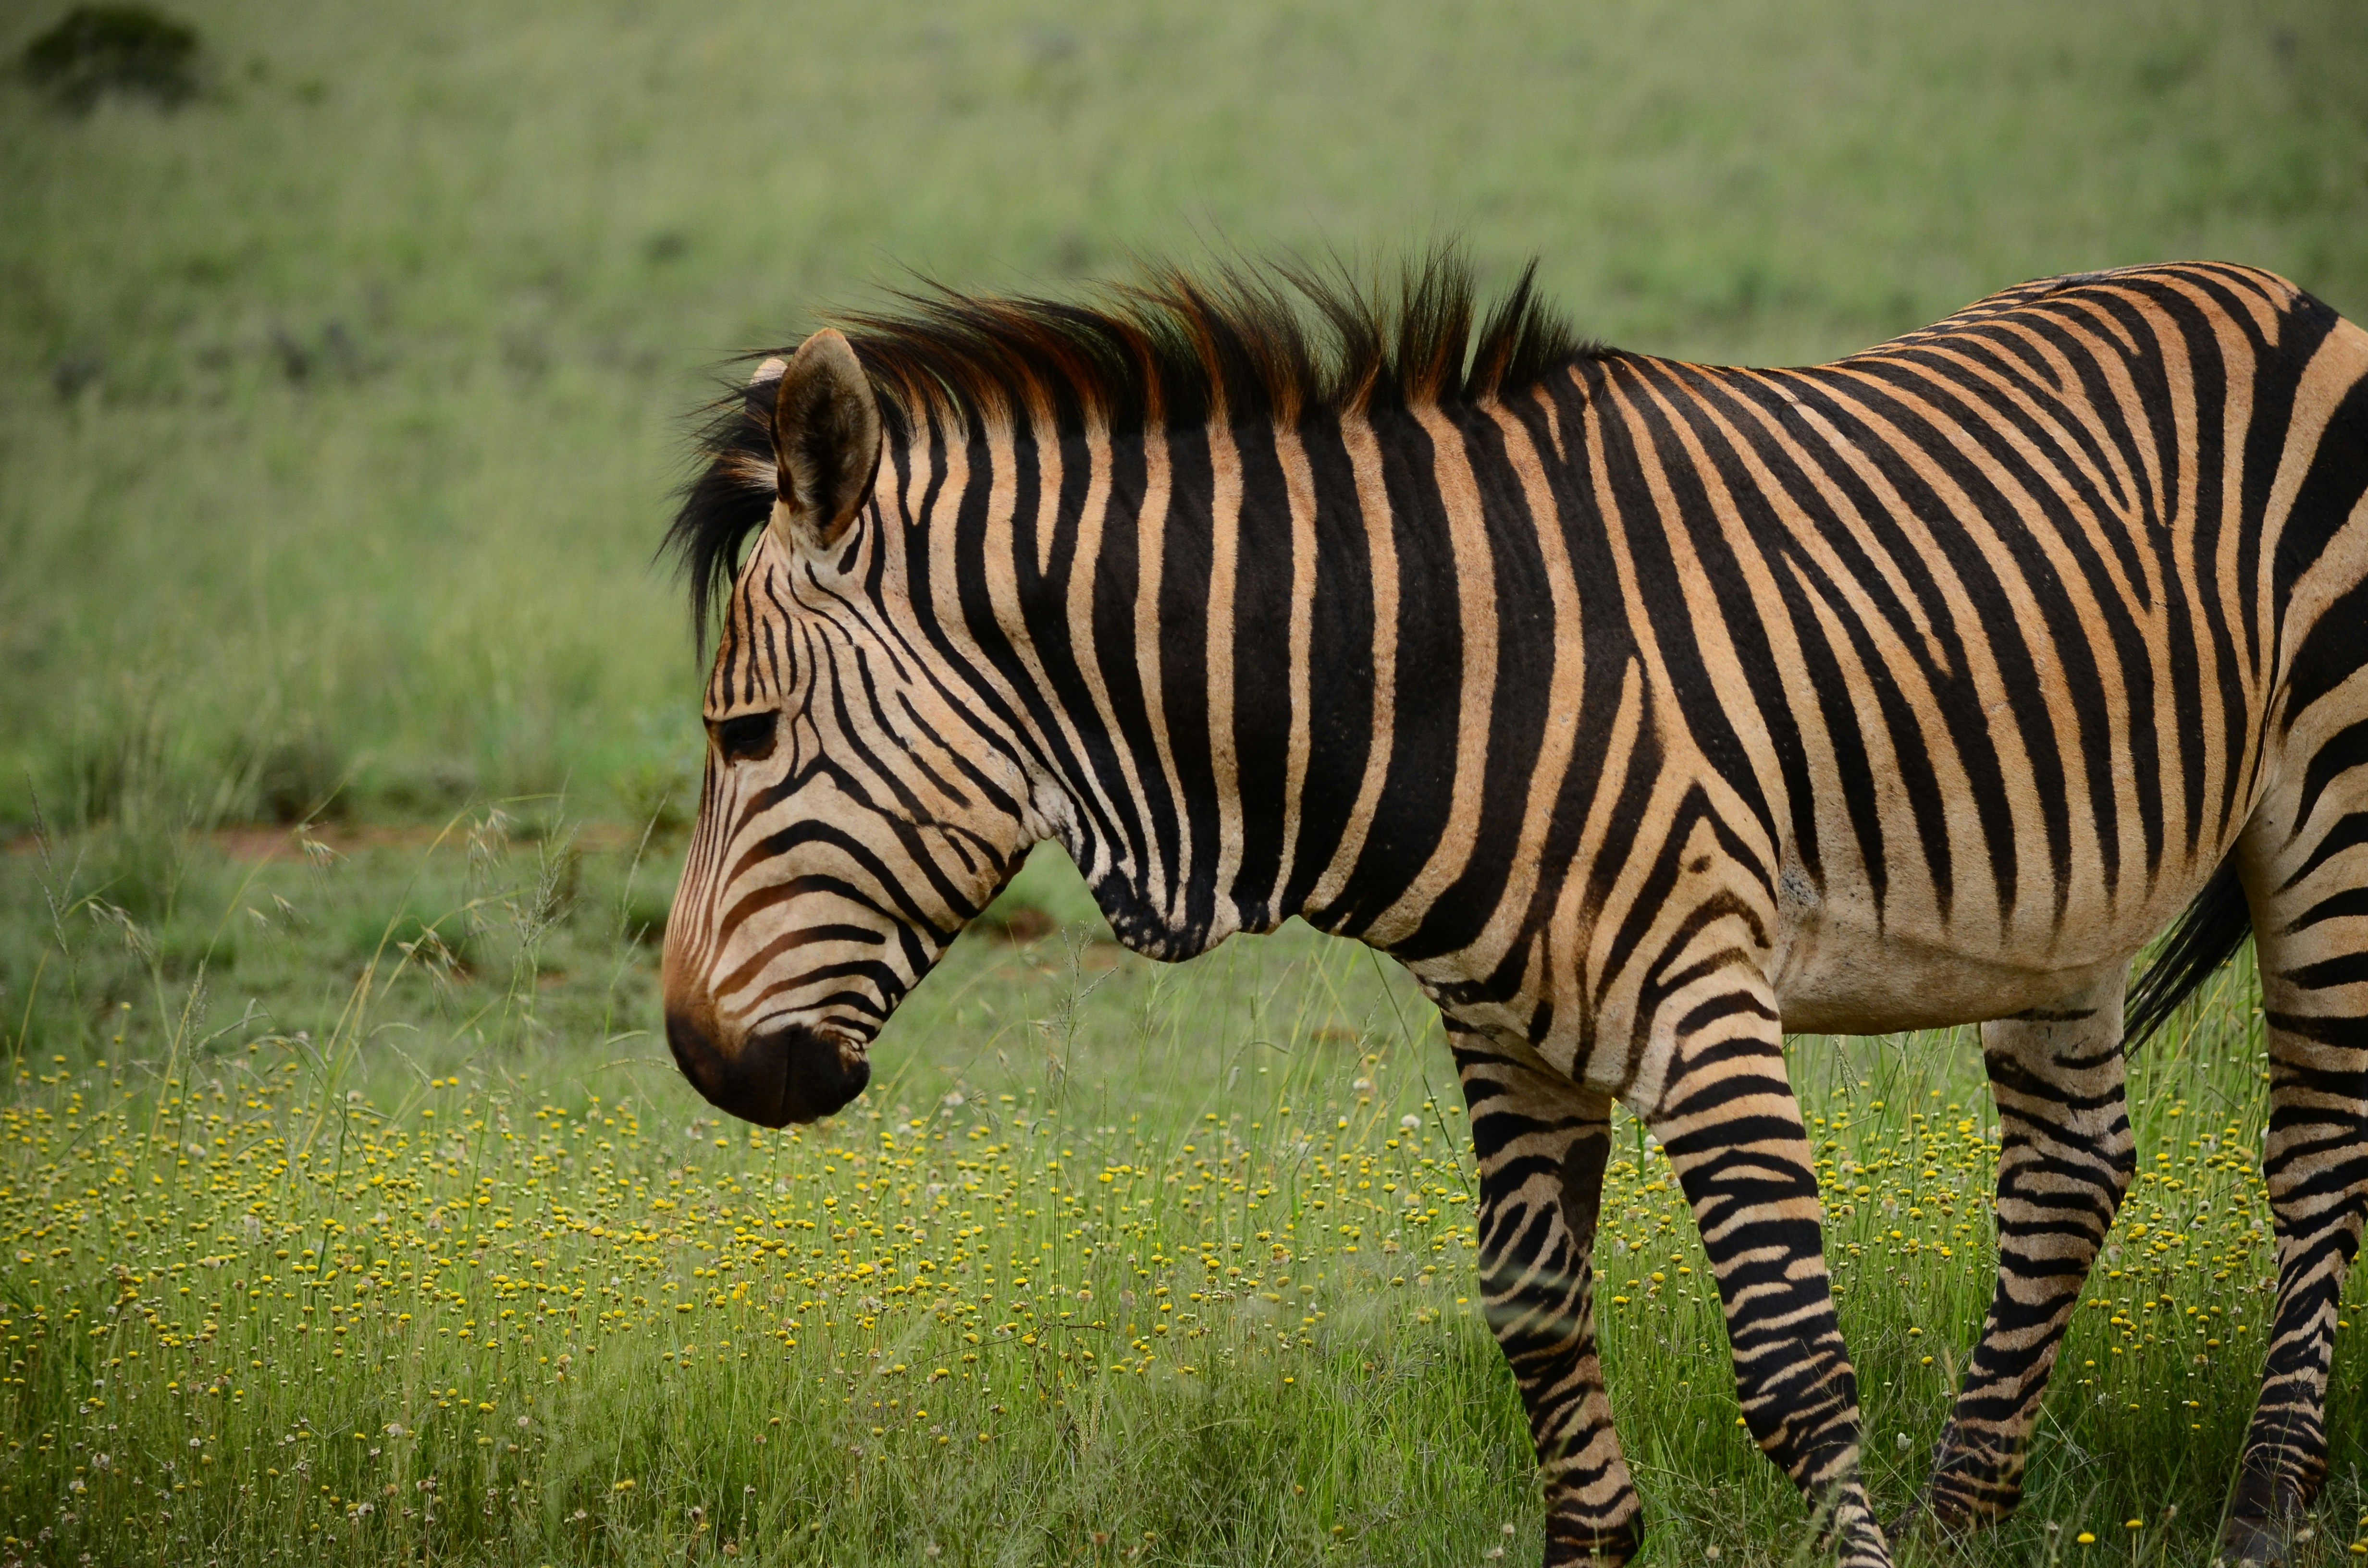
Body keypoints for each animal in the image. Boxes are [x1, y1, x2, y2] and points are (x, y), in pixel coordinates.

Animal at [658, 255, 2368, 1566]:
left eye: (742, 736)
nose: (696, 1059)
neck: (1415, 668)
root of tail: (2275, 291)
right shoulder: (1498, 1020)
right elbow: (1534, 1310)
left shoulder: (1705, 999)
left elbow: (1789, 1363)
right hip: (2067, 899)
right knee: (2071, 1172)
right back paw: (1966, 1521)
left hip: (2327, 803)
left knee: (2313, 1156)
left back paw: (2260, 1512)